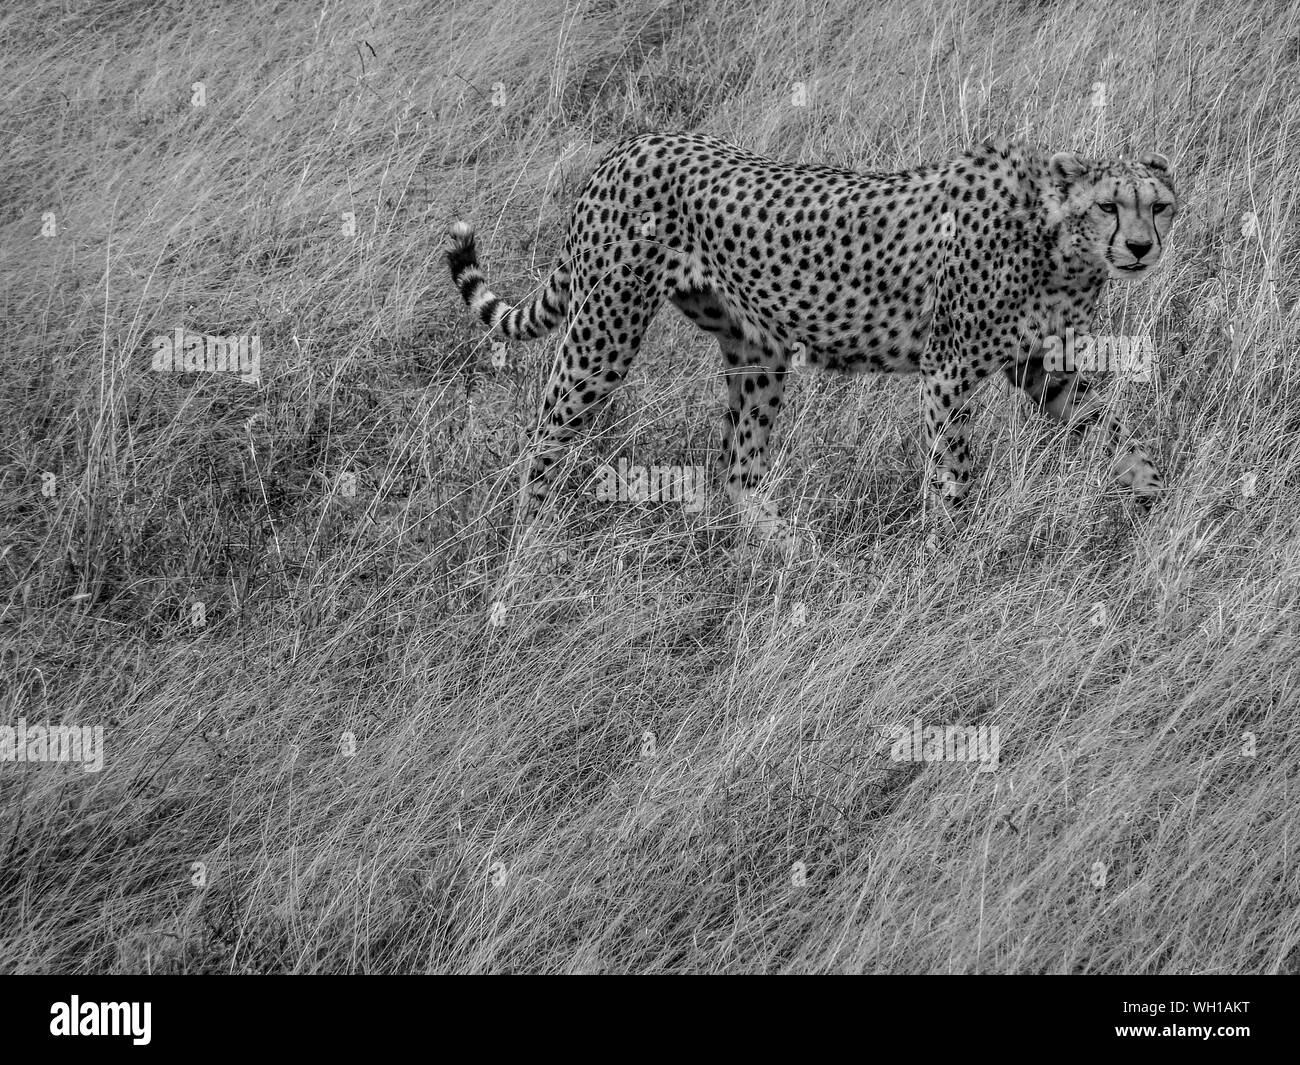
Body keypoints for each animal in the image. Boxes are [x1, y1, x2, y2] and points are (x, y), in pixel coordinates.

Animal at [447, 131, 1176, 546]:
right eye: (1108, 206)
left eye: (1161, 206)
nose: (1142, 248)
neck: (1058, 244)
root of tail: (634, 143)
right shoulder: (947, 368)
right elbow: (954, 467)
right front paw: (950, 546)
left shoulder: (1046, 364)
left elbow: (1117, 435)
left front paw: (1155, 504)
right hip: (605, 329)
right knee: (545, 432)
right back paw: (531, 541)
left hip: (757, 349)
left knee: (737, 465)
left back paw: (784, 545)